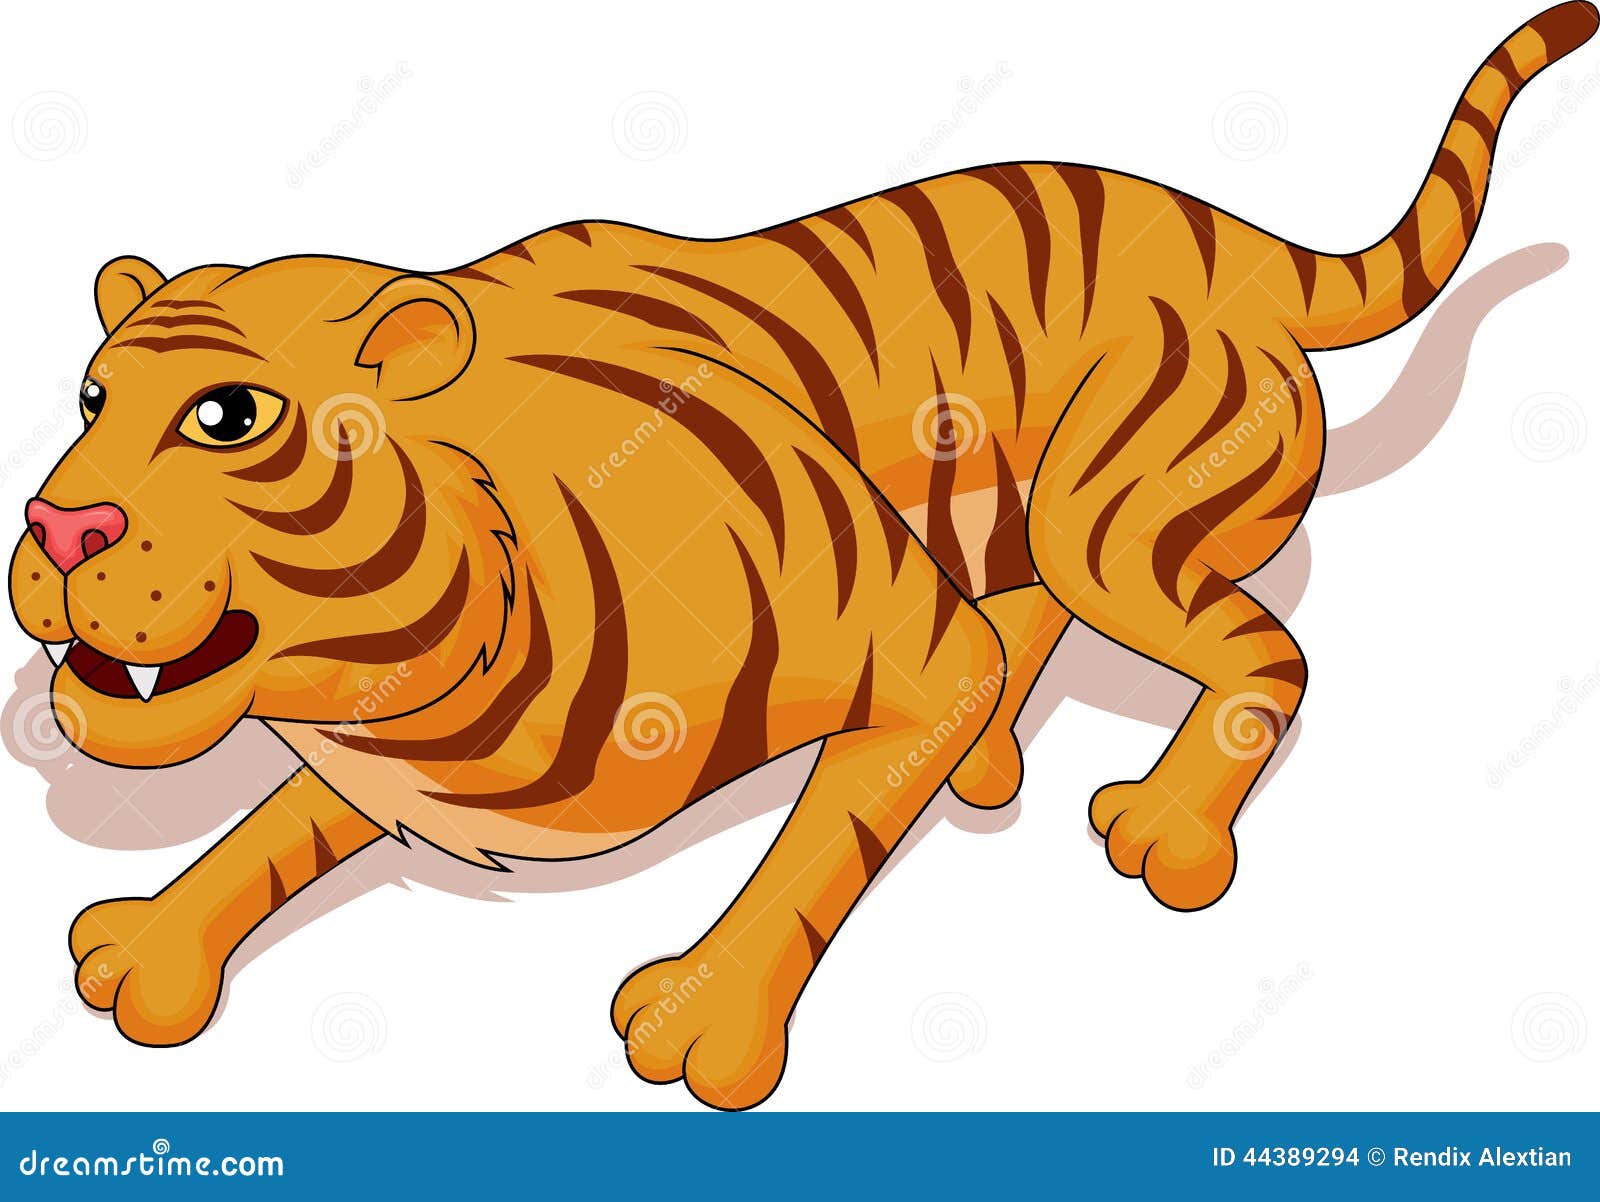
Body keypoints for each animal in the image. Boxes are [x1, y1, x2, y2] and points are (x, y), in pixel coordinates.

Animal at [8, 3, 1593, 1110]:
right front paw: (150, 949)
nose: (54, 527)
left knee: (1264, 648)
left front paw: (703, 1019)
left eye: (229, 417)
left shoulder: (907, 649)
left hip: (1105, 526)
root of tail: (1232, 235)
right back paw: (993, 768)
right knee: (1033, 621)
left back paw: (1166, 831)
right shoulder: (390, 754)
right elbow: (271, 824)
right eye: (87, 400)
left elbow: (819, 846)